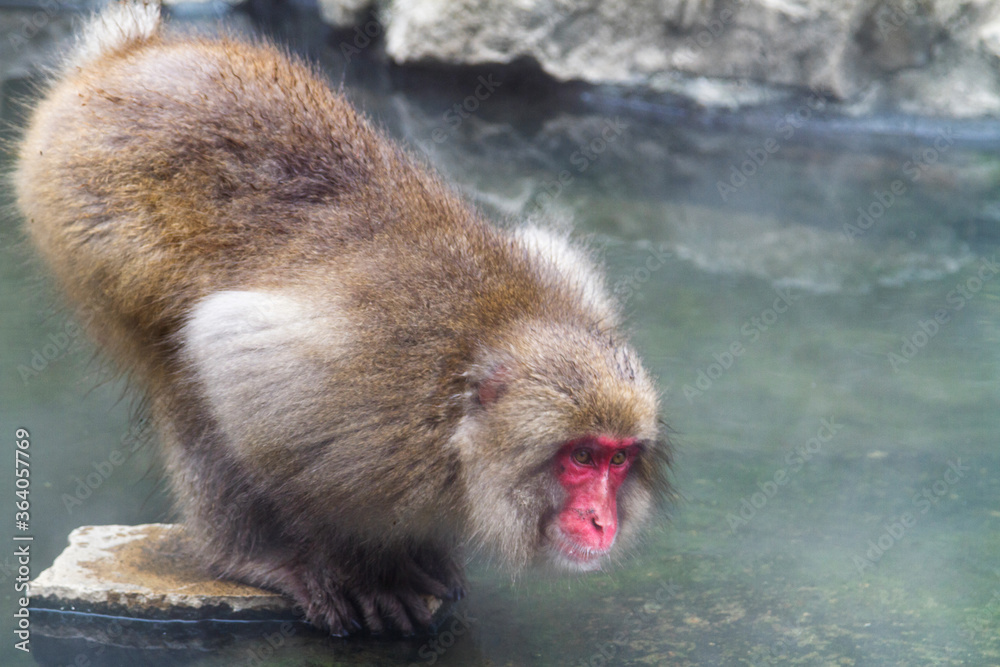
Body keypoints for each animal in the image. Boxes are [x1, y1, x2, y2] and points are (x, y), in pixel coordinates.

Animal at [14, 1, 672, 635]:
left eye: (617, 459)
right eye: (580, 458)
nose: (601, 520)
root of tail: (123, 56)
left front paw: (414, 553)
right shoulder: (350, 395)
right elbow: (225, 351)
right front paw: (354, 567)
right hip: (85, 210)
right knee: (183, 373)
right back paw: (251, 557)